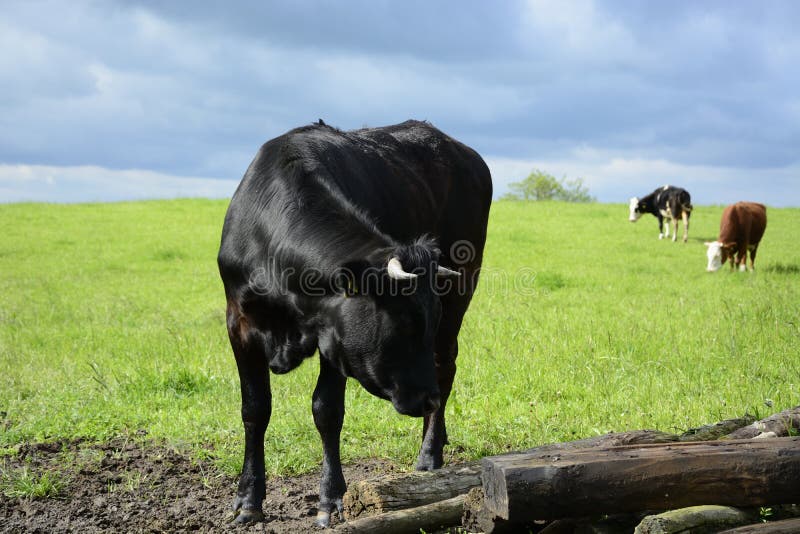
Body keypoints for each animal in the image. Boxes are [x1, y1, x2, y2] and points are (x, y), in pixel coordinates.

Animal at [217, 120, 492, 527]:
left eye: (425, 320)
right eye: (404, 322)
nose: (426, 399)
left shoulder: (334, 338)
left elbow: (327, 411)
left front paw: (331, 498)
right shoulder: (239, 323)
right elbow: (254, 409)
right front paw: (249, 499)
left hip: (460, 292)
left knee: (446, 368)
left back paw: (429, 455)